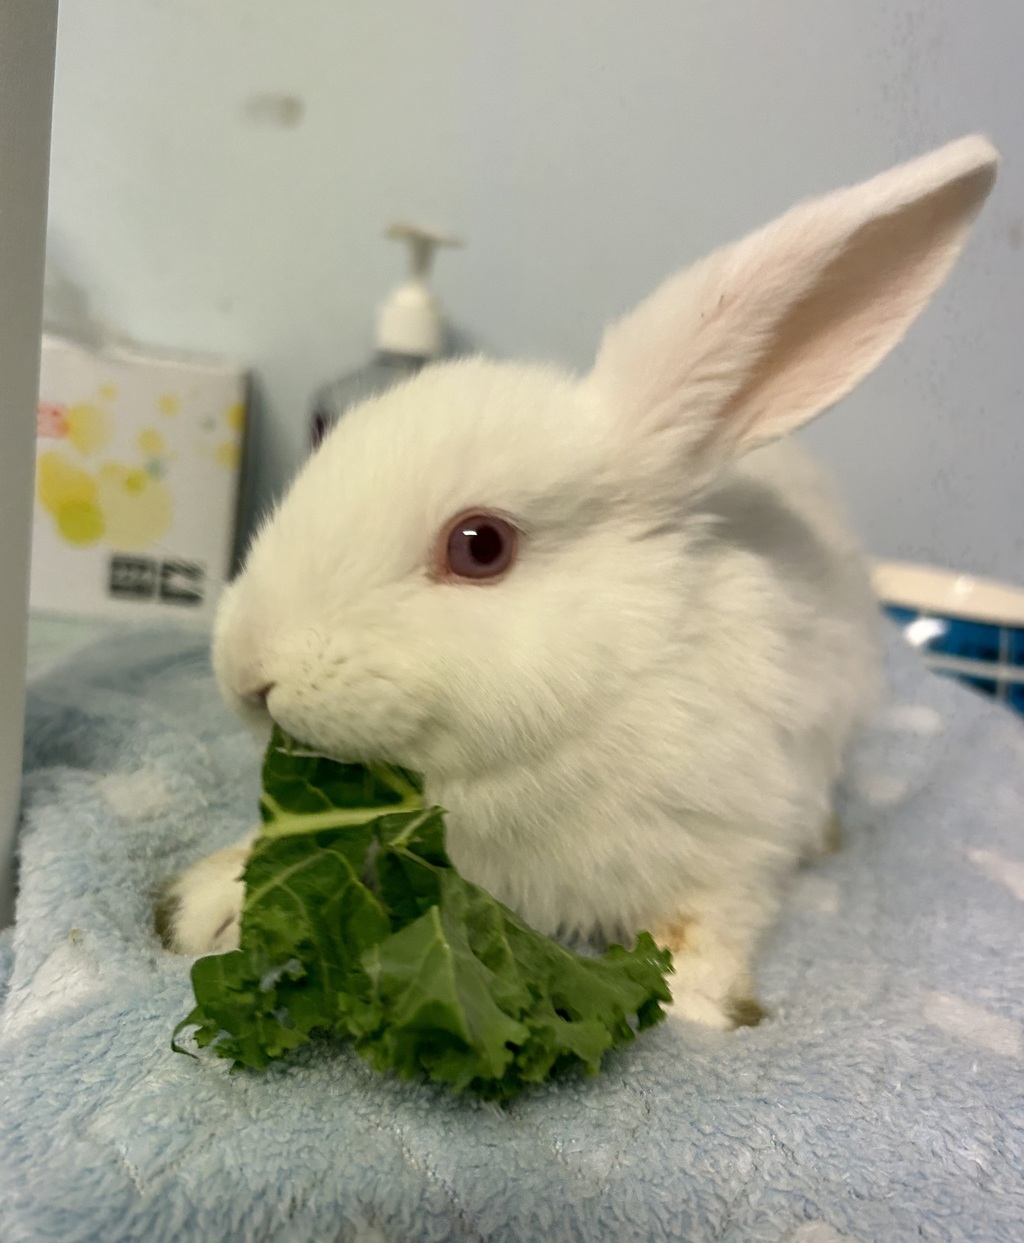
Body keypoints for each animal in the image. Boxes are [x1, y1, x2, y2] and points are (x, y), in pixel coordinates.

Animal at [161, 136, 998, 1029]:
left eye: (480, 545)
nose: (246, 672)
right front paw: (203, 906)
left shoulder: (734, 847)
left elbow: (711, 919)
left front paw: (703, 1002)